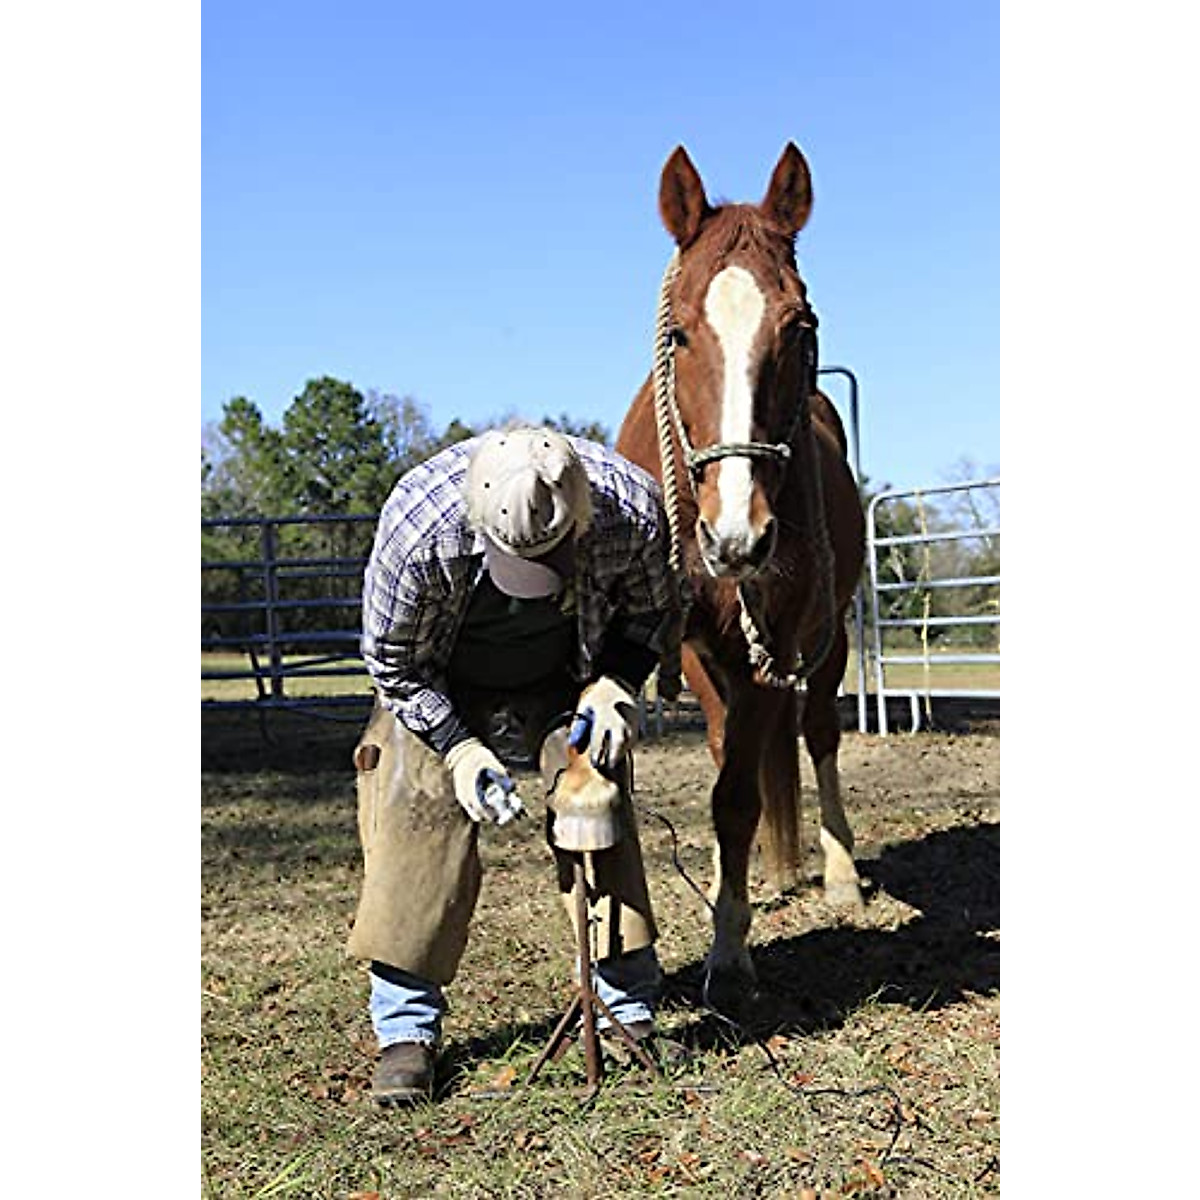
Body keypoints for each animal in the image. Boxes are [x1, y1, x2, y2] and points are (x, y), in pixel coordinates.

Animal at [616, 143, 866, 1003]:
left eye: (800, 325)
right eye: (680, 335)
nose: (737, 539)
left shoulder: (779, 641)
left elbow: (737, 799)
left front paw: (728, 952)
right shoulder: (684, 644)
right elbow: (731, 776)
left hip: (829, 640)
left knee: (816, 735)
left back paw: (841, 873)